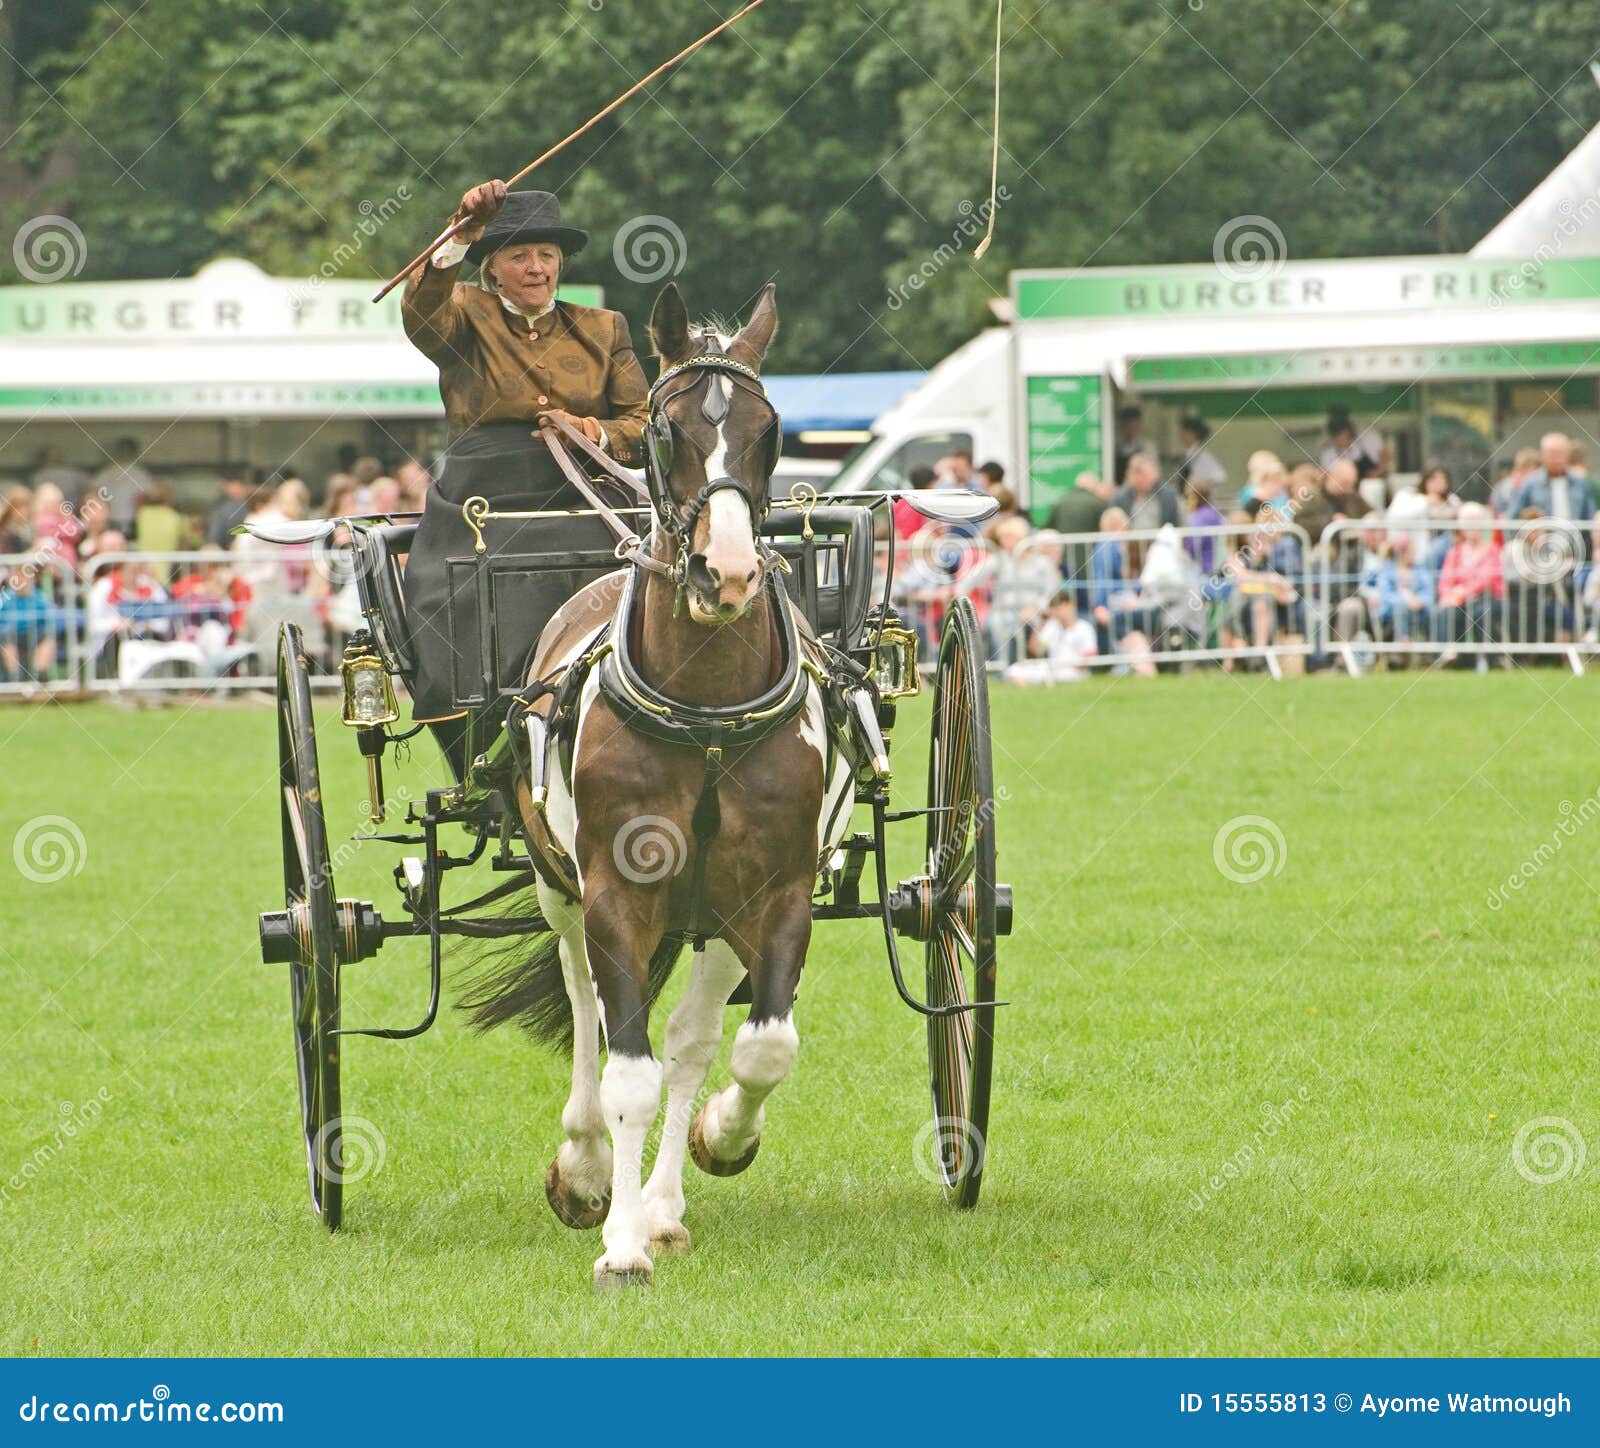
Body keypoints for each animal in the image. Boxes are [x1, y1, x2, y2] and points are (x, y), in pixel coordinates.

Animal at [460, 282, 856, 1288]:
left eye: (771, 430)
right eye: (663, 429)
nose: (729, 573)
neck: (707, 713)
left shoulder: (776, 891)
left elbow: (760, 1049)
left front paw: (720, 1142)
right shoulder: (615, 891)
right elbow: (626, 1068)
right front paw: (620, 1240)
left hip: (709, 915)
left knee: (689, 1039)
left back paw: (667, 1200)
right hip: (562, 885)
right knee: (586, 1008)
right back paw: (590, 1169)